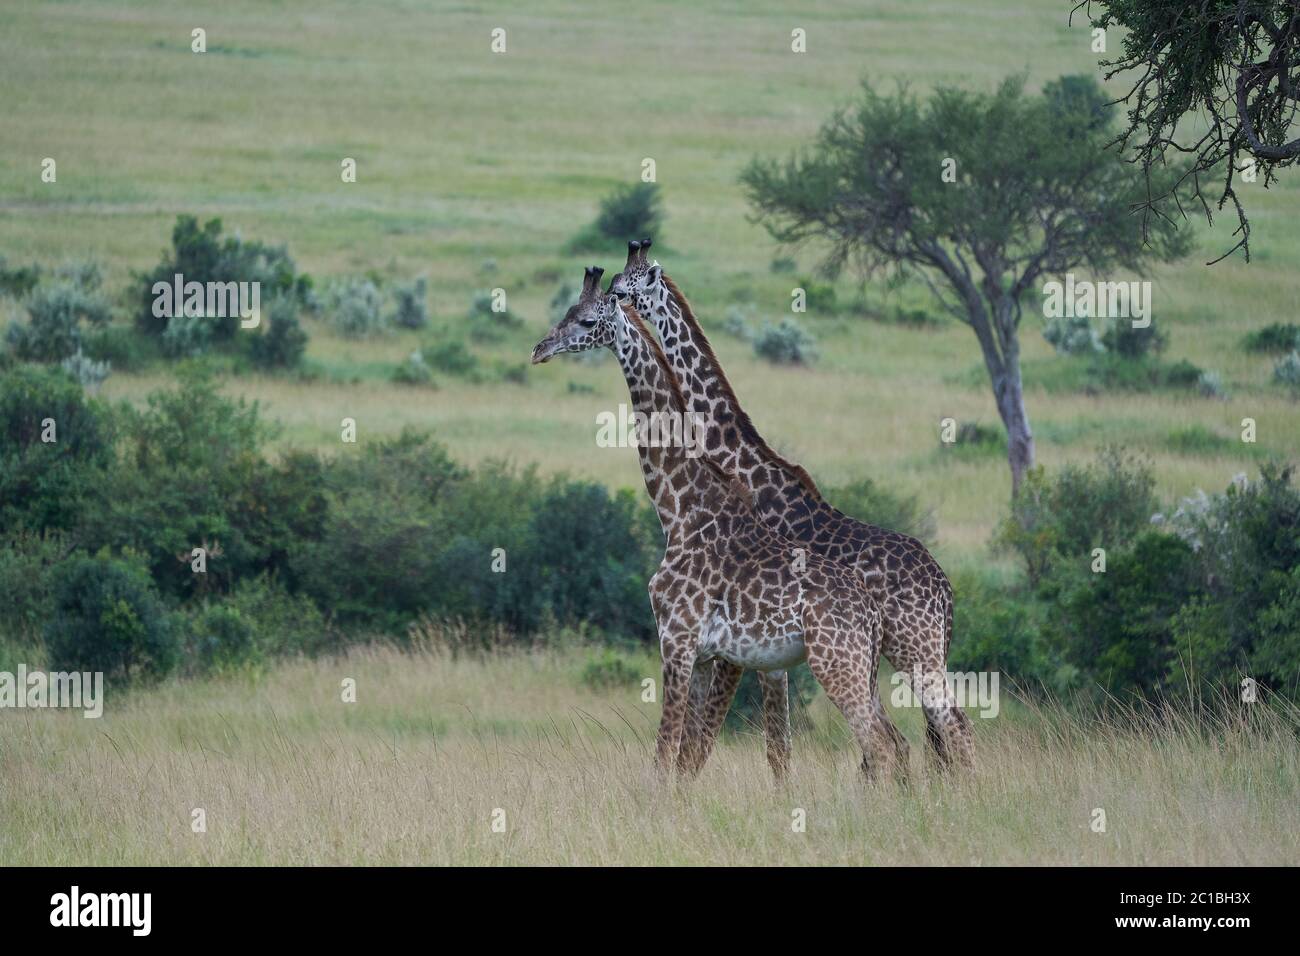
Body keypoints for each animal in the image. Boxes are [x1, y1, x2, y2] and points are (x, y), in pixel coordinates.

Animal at [531, 266, 905, 783]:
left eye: (587, 320)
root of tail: (871, 615)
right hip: (862, 670)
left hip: (836, 662)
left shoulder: (678, 641)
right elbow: (687, 754)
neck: (679, 510)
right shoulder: (707, 656)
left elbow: (665, 756)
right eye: (566, 311)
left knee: (883, 747)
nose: (539, 349)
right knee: (895, 743)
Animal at [610, 239, 975, 772]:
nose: (612, 297)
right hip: (907, 652)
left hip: (914, 649)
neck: (746, 469)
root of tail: (945, 590)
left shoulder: (745, 644)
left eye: (626, 285)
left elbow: (747, 739)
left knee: (952, 727)